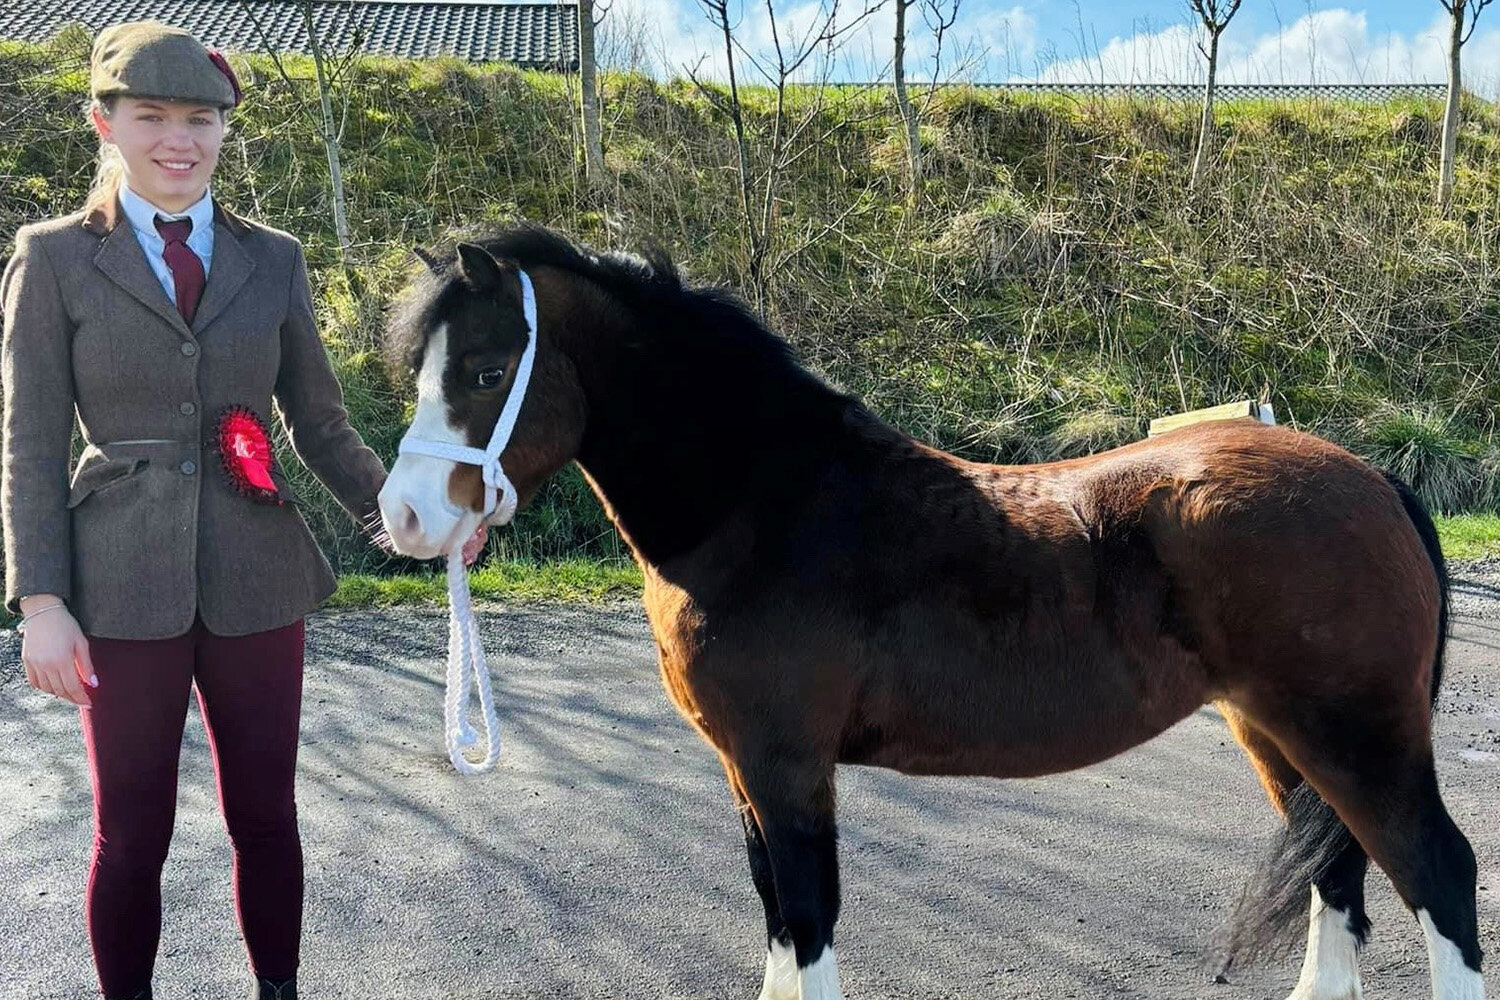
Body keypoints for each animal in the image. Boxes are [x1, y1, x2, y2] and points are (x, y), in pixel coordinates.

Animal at [376, 225, 1485, 1000]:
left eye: (485, 371)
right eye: (423, 372)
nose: (405, 516)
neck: (766, 505)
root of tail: (1374, 479)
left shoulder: (786, 763)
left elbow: (808, 917)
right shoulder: (745, 769)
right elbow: (777, 917)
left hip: (1356, 735)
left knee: (1439, 873)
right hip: (1277, 730)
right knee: (1337, 877)